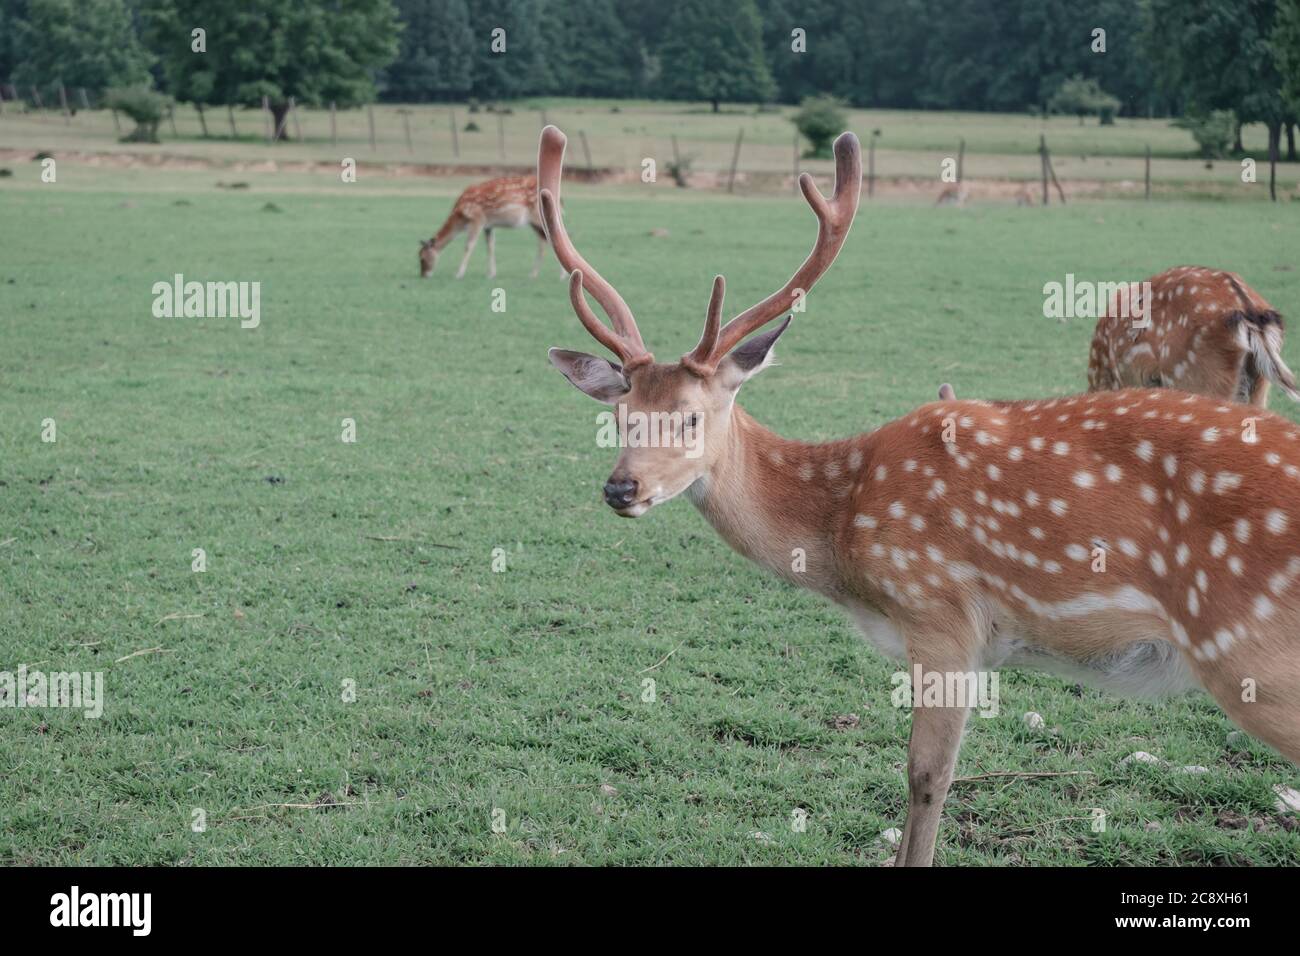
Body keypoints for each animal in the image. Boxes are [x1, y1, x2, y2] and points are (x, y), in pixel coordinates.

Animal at [419, 175, 550, 280]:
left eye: (422, 258)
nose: (424, 275)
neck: (461, 218)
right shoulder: (488, 225)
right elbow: (490, 246)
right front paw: (491, 274)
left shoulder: (478, 219)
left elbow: (469, 245)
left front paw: (458, 274)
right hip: (534, 222)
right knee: (543, 241)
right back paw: (533, 274)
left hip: (537, 217)